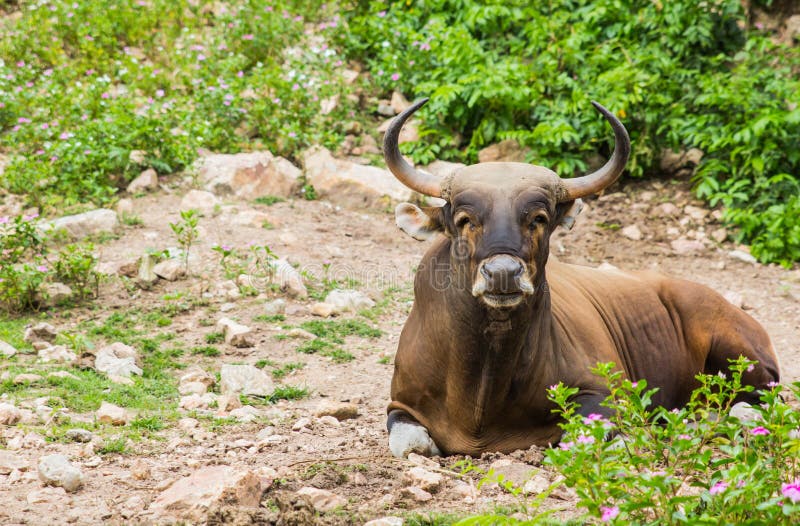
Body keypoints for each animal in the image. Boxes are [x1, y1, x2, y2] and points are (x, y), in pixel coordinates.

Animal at [382, 98, 780, 458]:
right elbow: (408, 444)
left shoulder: (604, 393)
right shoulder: (400, 405)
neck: (483, 394)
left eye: (539, 218)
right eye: (465, 219)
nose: (503, 275)